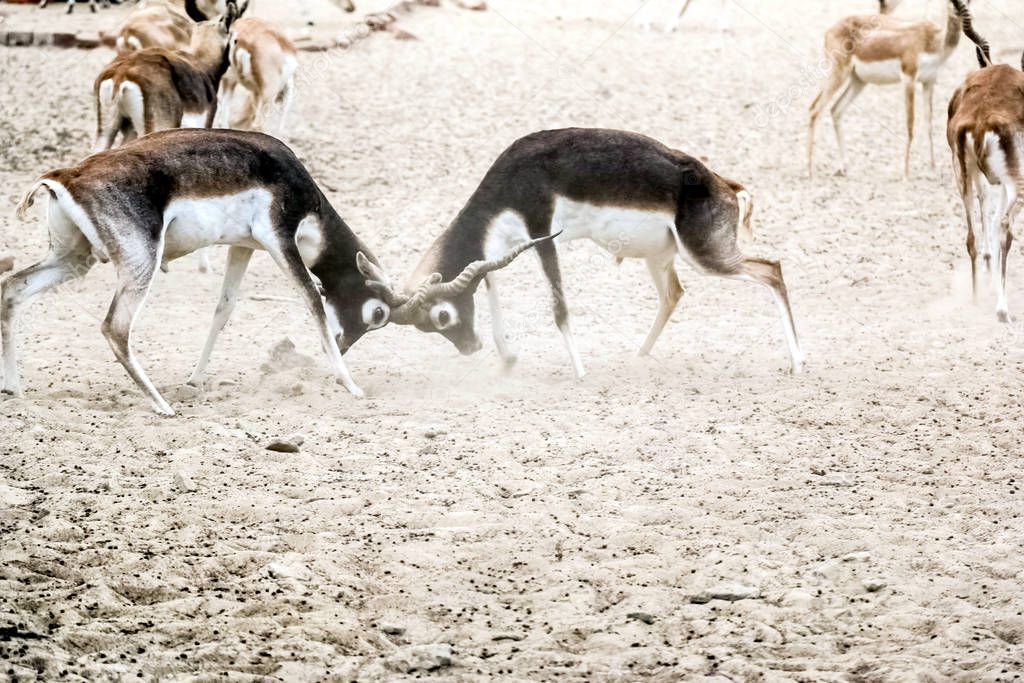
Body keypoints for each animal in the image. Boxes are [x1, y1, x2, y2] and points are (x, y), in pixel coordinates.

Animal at [364, 128, 802, 379]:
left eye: (442, 316)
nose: (470, 348)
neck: (513, 180)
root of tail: (724, 184)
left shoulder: (544, 236)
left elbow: (559, 308)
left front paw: (579, 371)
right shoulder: (503, 247)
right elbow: (490, 281)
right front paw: (508, 358)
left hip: (707, 256)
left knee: (773, 269)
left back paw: (797, 362)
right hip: (660, 256)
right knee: (674, 294)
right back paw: (639, 356)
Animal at [807, 0, 967, 179]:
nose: (958, 14)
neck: (933, 41)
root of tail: (830, 30)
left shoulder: (929, 82)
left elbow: (929, 124)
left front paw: (932, 168)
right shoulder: (909, 79)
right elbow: (910, 124)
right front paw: (906, 173)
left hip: (858, 80)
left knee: (836, 109)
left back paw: (844, 168)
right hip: (839, 73)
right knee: (814, 109)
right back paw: (810, 172)